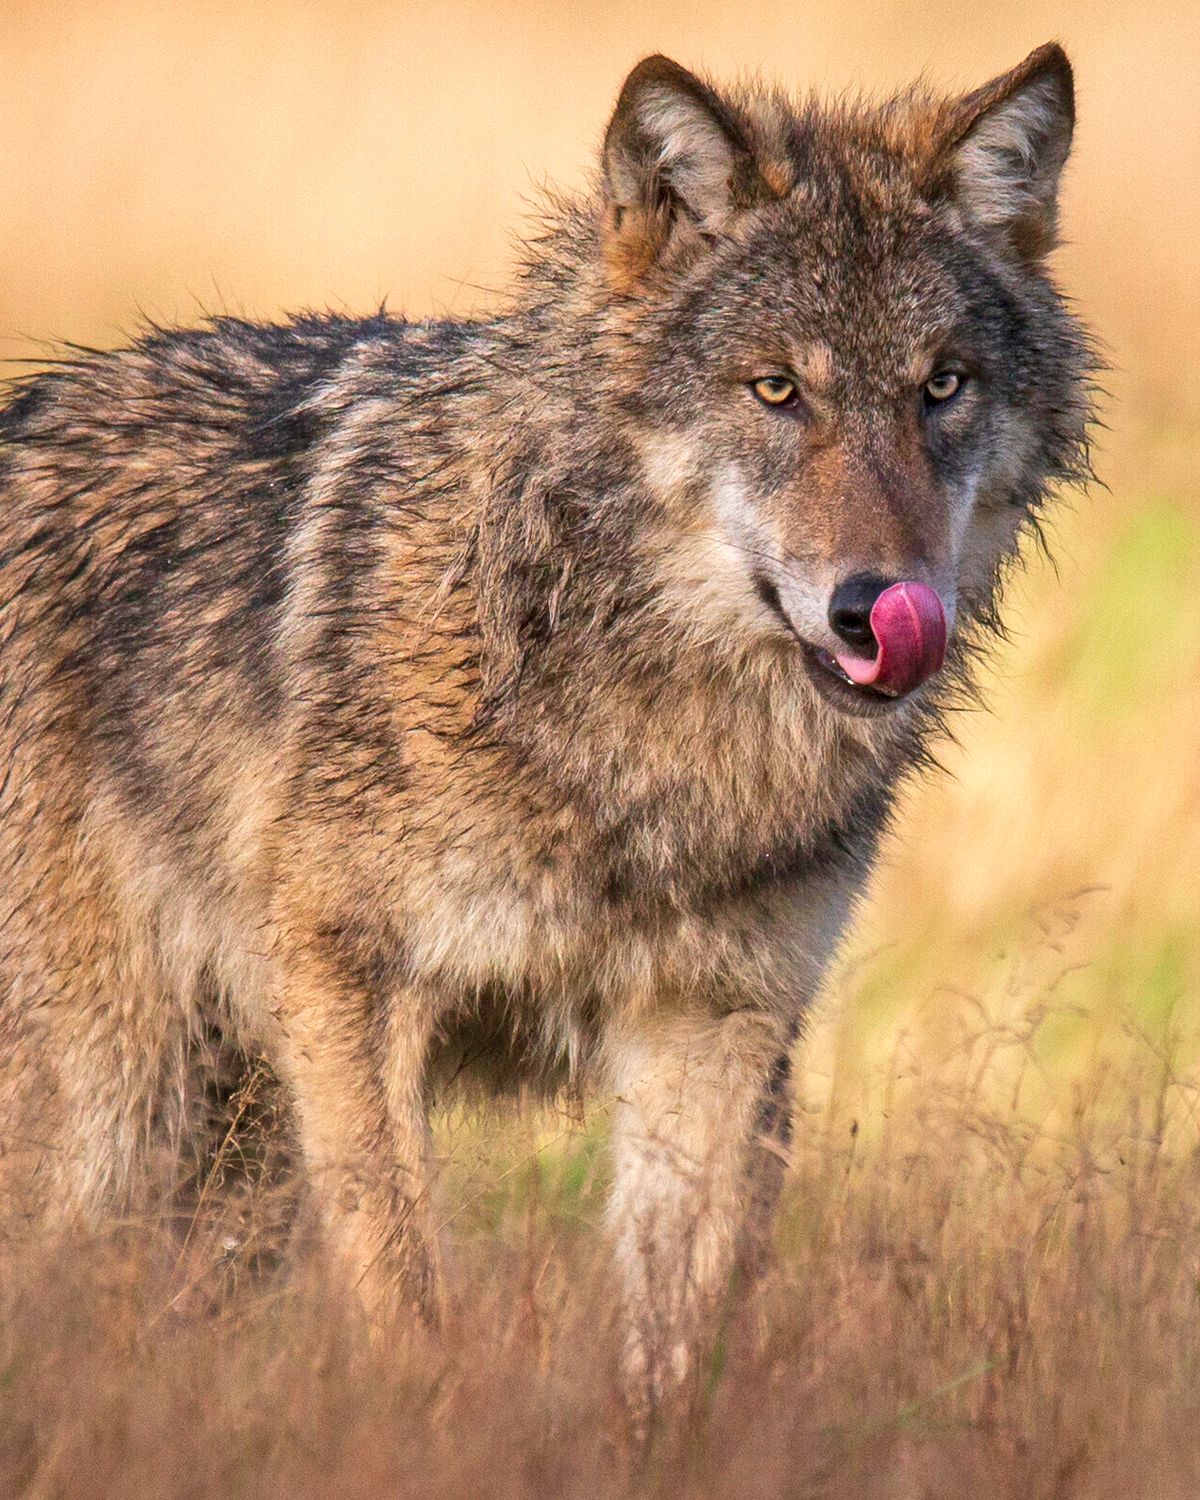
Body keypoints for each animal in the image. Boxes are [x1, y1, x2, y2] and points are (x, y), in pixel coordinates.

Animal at [0, 44, 1091, 1400]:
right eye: (777, 390)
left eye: (941, 387)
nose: (881, 609)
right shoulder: (352, 987)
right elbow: (405, 1295)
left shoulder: (715, 1030)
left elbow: (676, 1347)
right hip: (103, 1110)